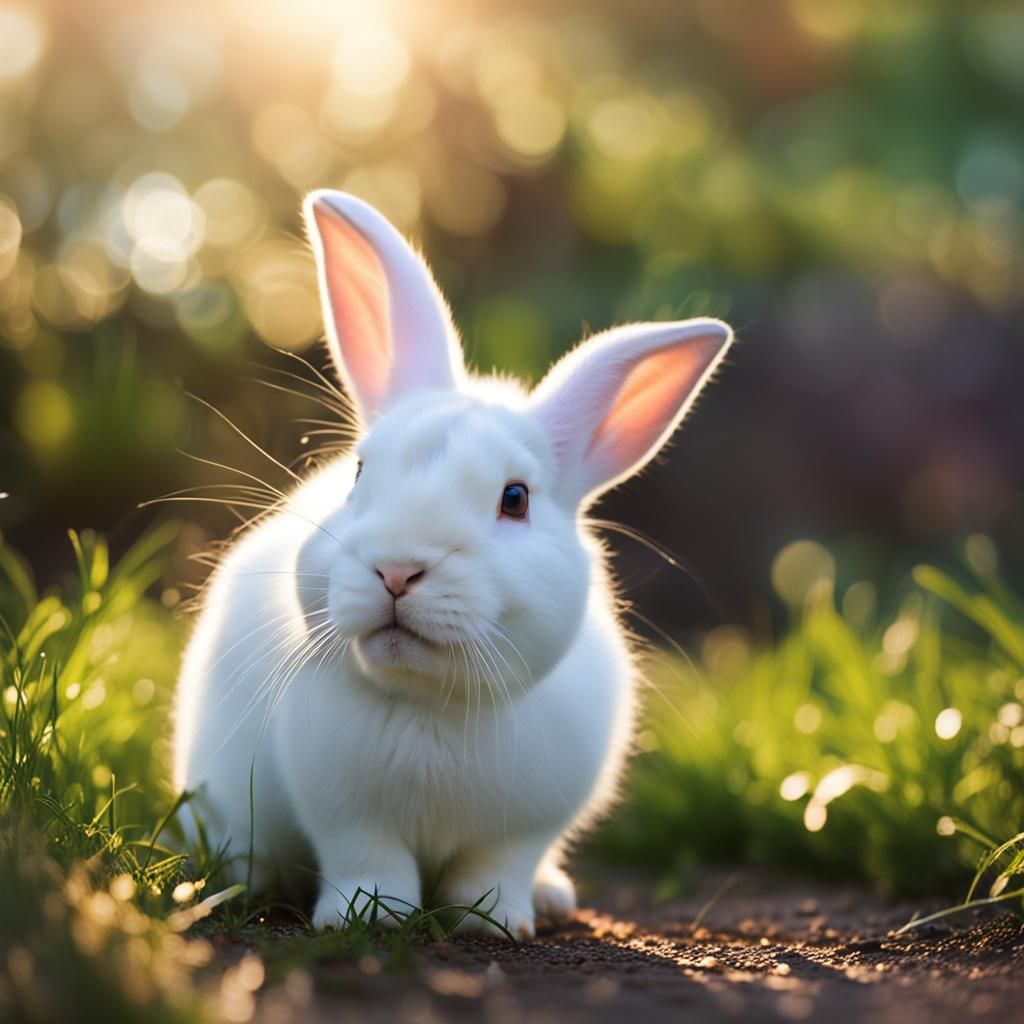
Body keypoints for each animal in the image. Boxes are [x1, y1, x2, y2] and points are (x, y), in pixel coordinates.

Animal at [172, 189, 733, 938]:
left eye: (515, 499)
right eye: (359, 473)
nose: (397, 571)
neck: (433, 705)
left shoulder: (520, 830)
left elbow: (495, 869)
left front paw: (493, 922)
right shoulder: (346, 814)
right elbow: (367, 863)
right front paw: (365, 919)